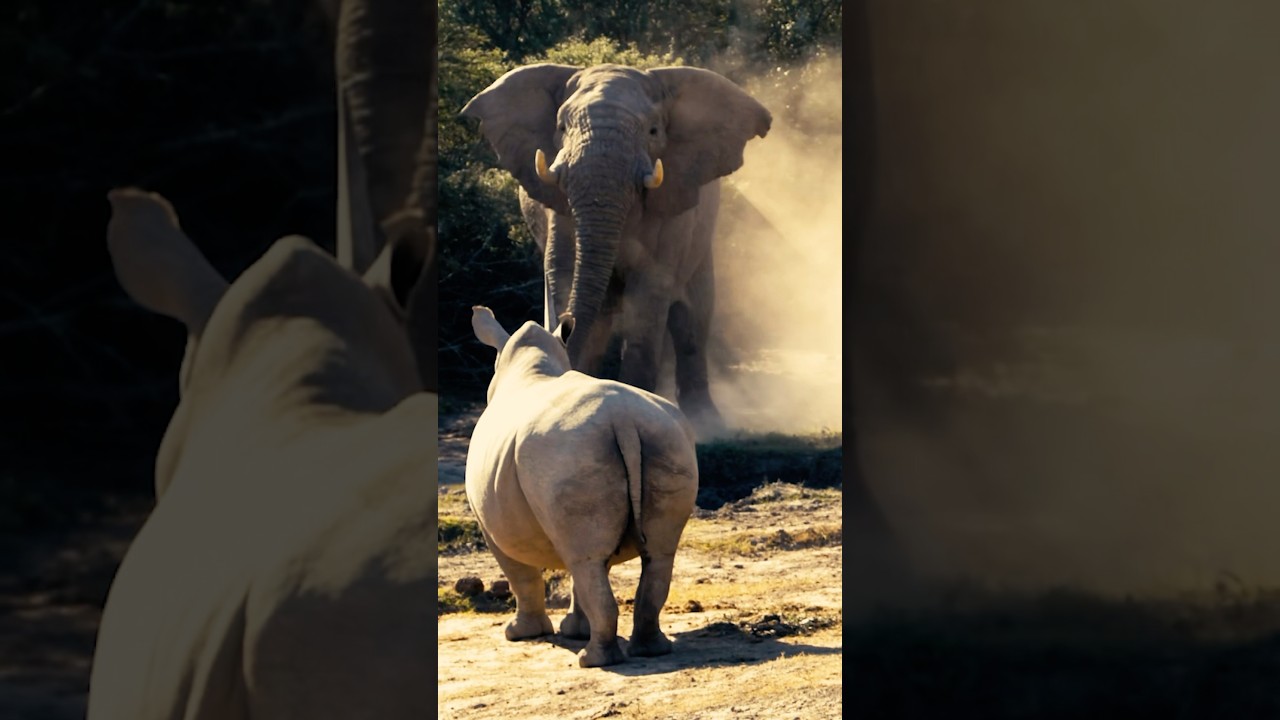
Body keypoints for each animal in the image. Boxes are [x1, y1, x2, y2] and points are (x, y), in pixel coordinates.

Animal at [460, 63, 772, 436]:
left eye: (653, 131)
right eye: (561, 127)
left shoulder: (672, 210)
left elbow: (650, 292)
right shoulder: (559, 210)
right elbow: (564, 276)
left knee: (692, 318)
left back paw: (704, 421)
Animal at [466, 305, 700, 668]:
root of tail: (623, 418)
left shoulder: (488, 522)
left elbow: (521, 575)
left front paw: (521, 634)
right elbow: (582, 569)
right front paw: (574, 631)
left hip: (567, 452)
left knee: (585, 562)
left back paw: (593, 661)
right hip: (663, 438)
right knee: (652, 555)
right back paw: (650, 650)